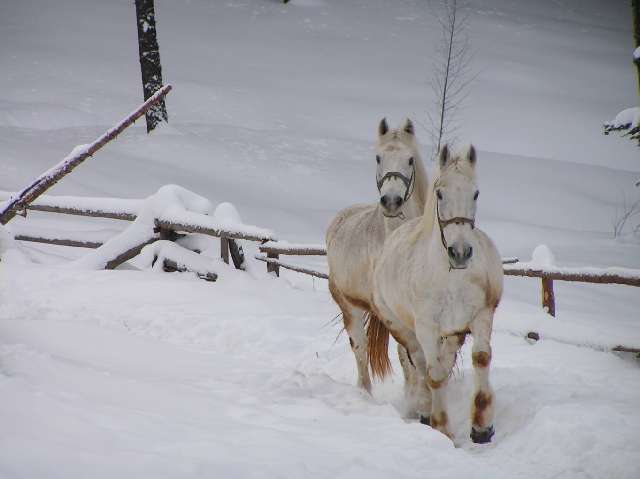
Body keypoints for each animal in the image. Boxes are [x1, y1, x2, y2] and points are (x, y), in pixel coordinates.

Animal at [324, 119, 430, 402]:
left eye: (410, 159)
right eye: (378, 157)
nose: (391, 201)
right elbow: (409, 357)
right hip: (350, 307)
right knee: (360, 349)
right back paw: (365, 393)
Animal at [370, 144, 504, 444]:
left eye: (476, 193)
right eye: (440, 193)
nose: (460, 252)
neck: (451, 277)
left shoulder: (481, 315)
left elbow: (481, 358)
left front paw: (482, 426)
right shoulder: (426, 327)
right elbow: (433, 375)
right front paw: (441, 426)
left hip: (453, 331)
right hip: (403, 328)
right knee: (419, 364)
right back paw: (423, 408)